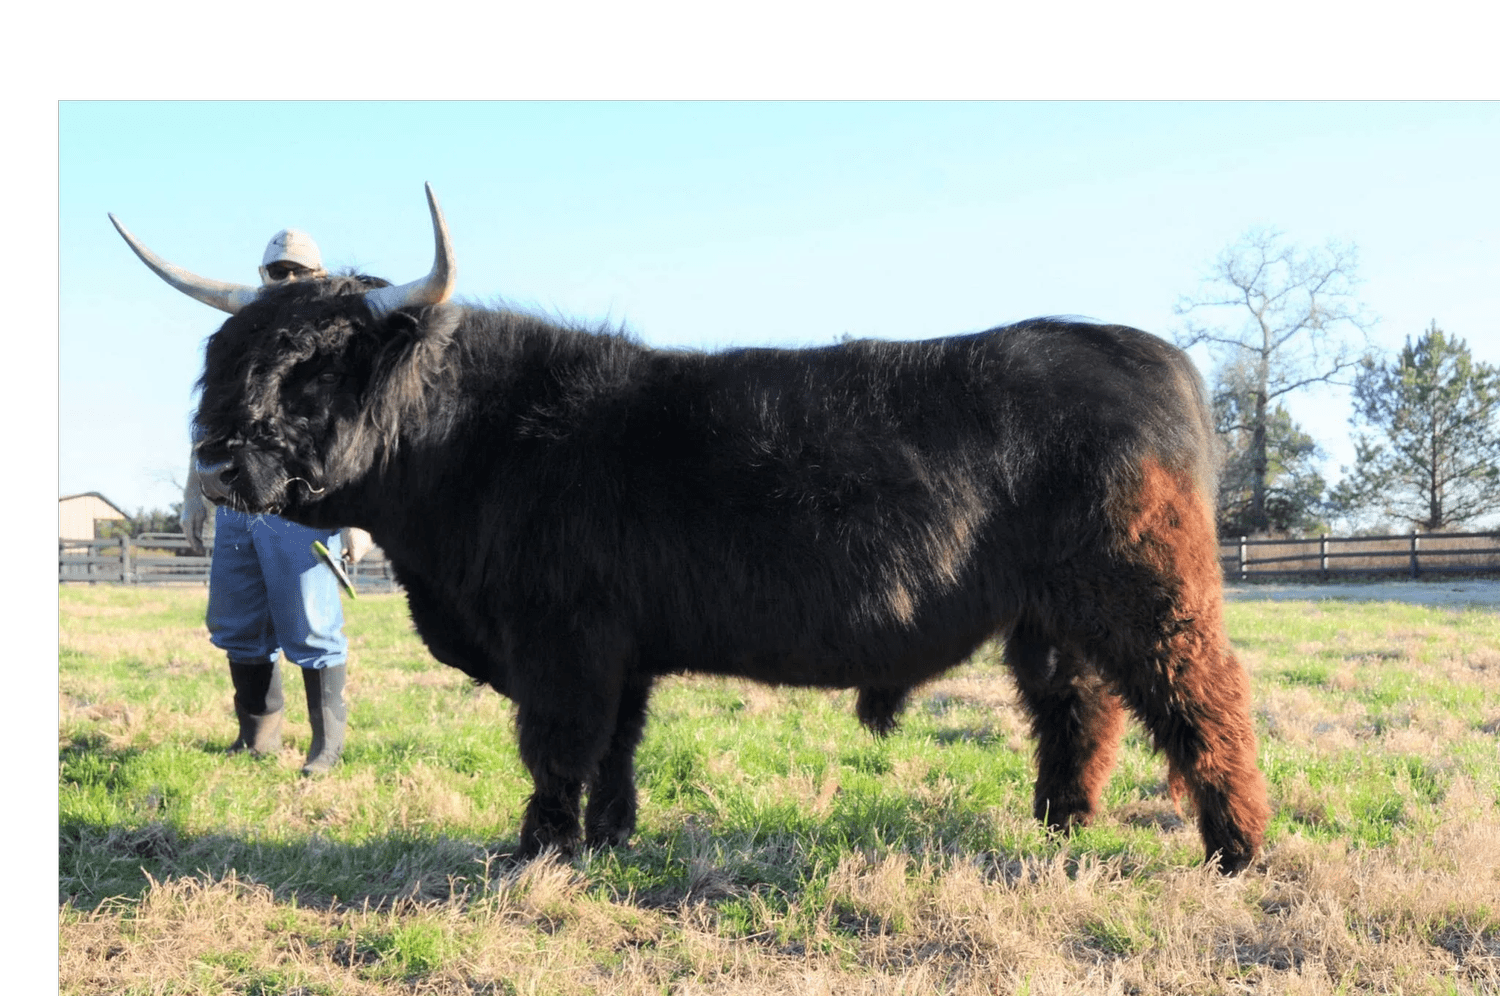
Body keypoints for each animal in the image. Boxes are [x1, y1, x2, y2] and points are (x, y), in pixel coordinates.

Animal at [111, 185, 1270, 874]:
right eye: (226, 356)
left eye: (315, 365)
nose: (214, 461)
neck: (481, 446)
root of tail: (1142, 349)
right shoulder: (618, 648)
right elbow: (615, 750)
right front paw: (610, 842)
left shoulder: (560, 641)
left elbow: (556, 747)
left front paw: (535, 852)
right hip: (1054, 617)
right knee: (1079, 712)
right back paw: (1060, 826)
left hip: (1146, 591)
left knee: (1202, 699)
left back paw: (1239, 847)